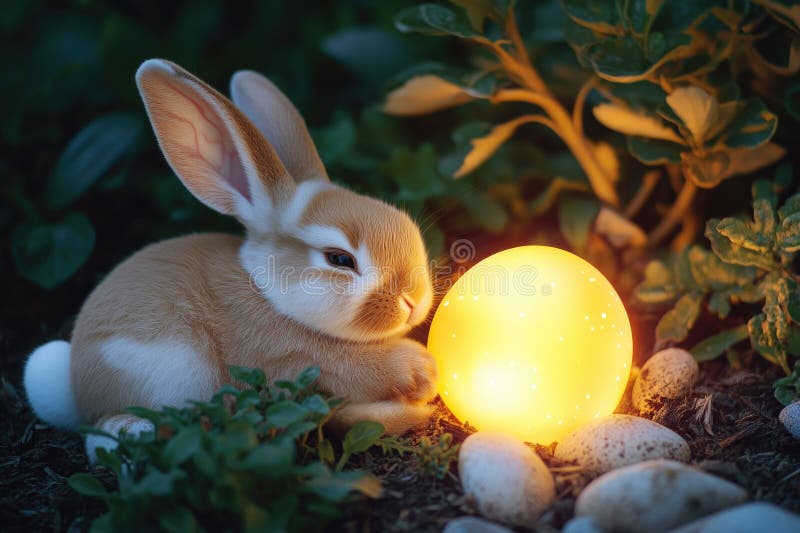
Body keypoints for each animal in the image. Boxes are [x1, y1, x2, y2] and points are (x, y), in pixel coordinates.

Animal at [23, 59, 438, 461]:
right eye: (340, 259)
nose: (414, 301)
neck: (271, 295)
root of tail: (75, 384)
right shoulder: (292, 357)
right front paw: (422, 374)